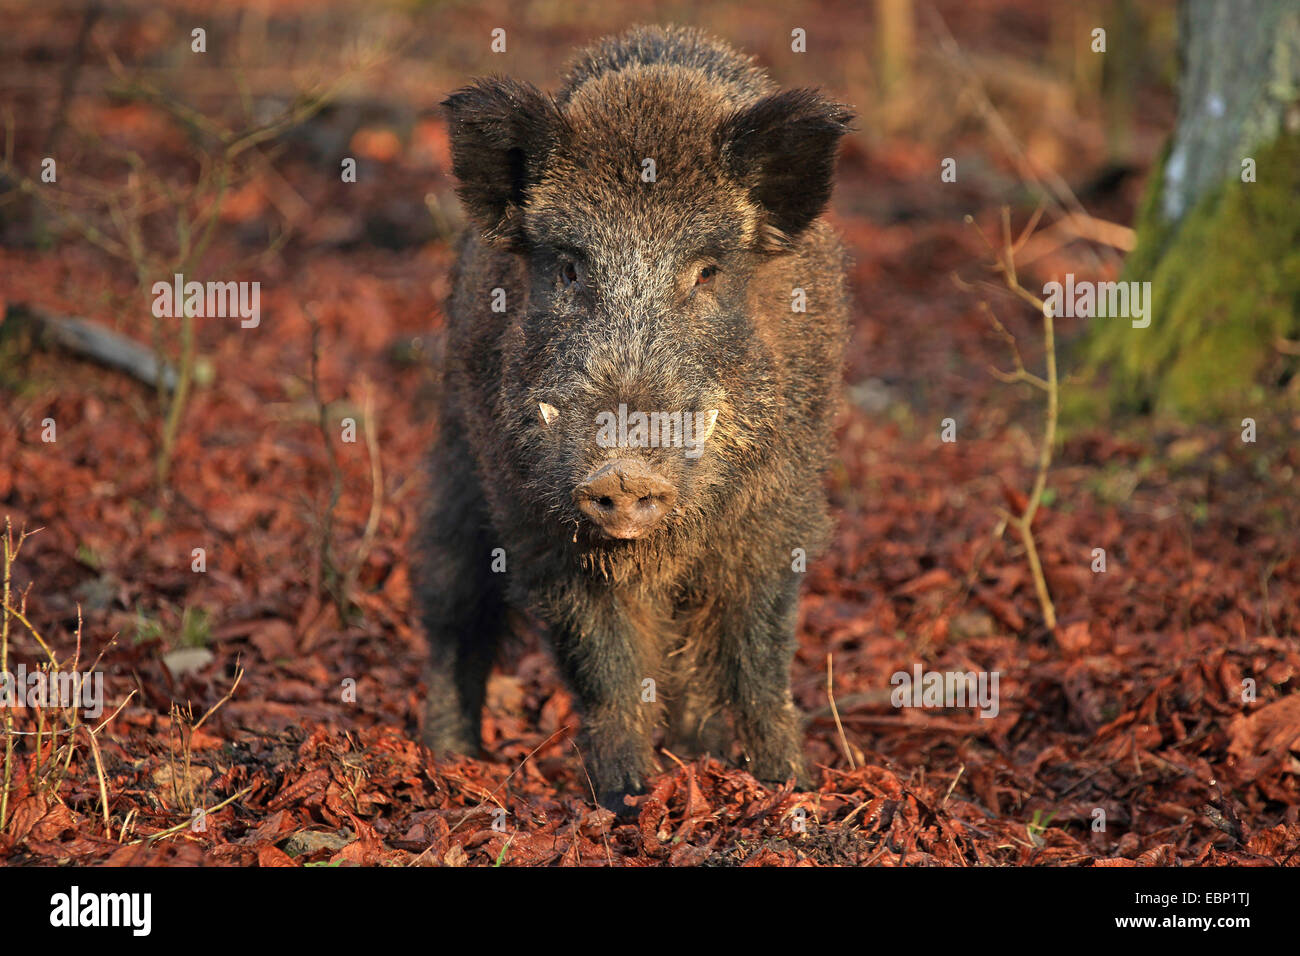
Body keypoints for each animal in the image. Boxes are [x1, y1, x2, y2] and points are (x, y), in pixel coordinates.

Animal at [419, 24, 852, 814]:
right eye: (568, 268)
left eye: (708, 272)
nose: (621, 471)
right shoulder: (538, 528)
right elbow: (606, 668)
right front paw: (627, 799)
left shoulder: (778, 520)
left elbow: (759, 658)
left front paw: (791, 785)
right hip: (457, 467)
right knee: (452, 607)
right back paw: (449, 760)